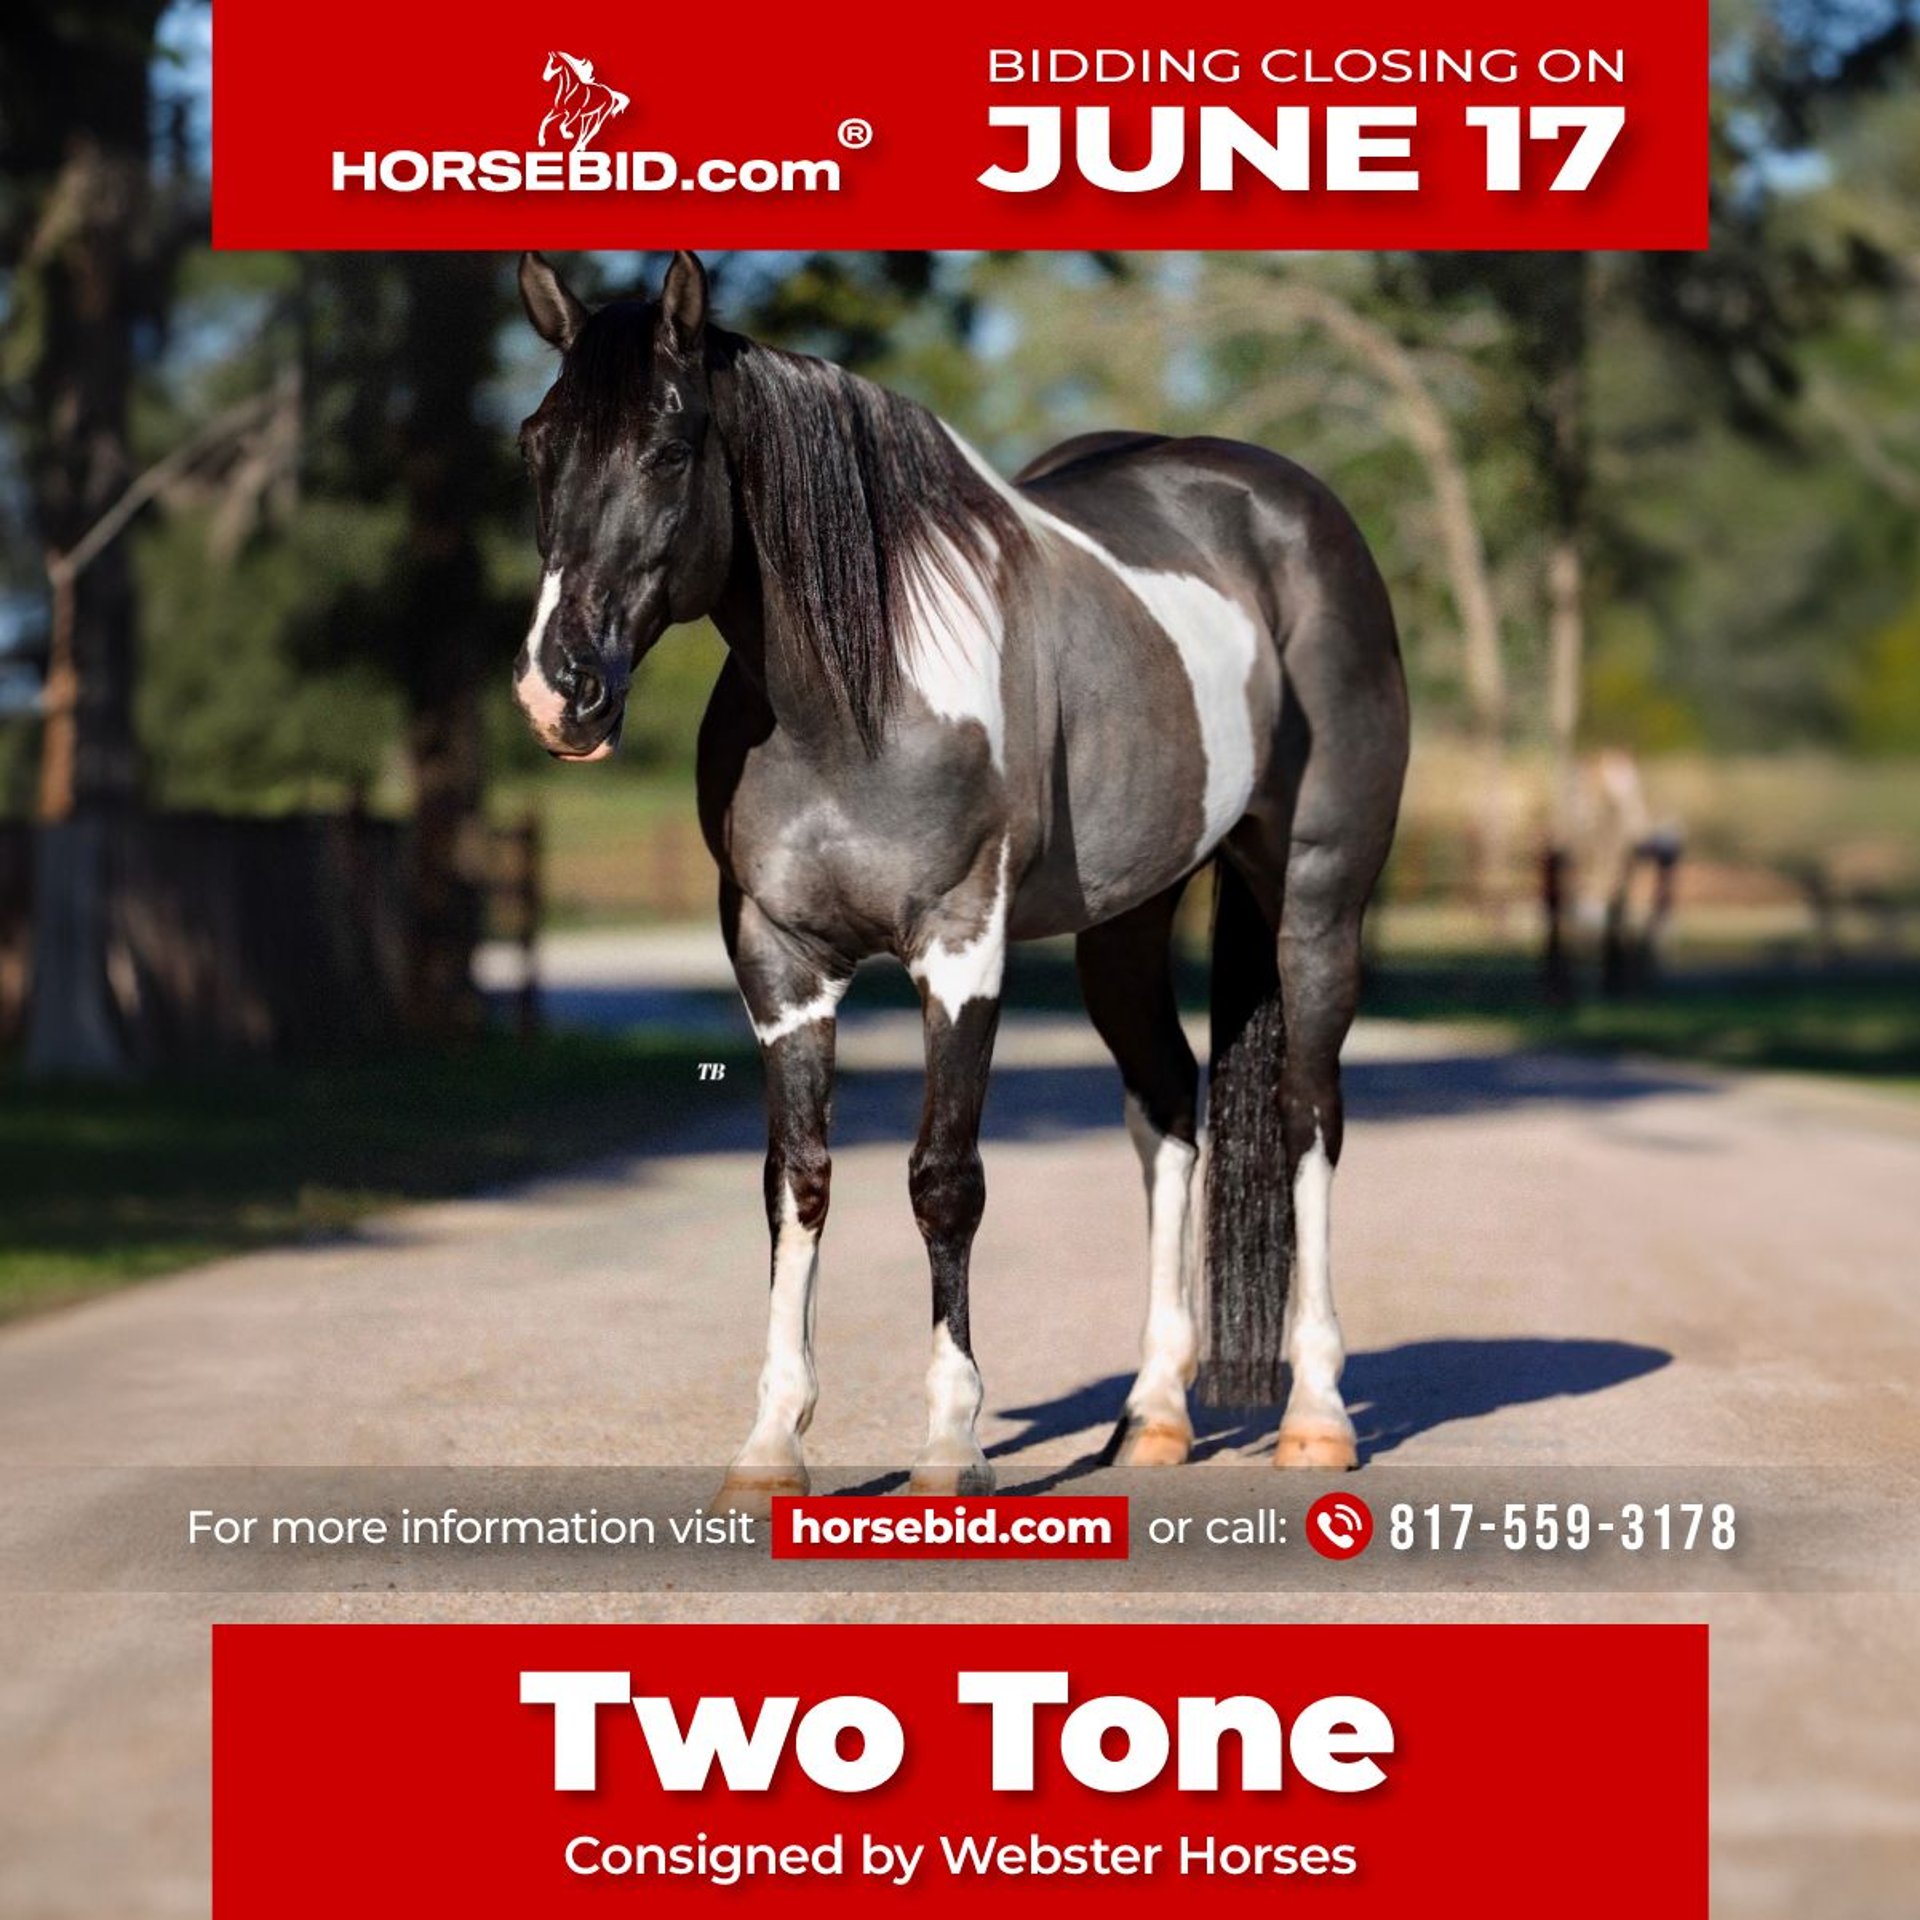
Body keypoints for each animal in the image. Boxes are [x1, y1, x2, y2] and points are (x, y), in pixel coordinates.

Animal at [511, 250, 1410, 1504]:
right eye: (537, 444)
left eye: (672, 446)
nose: (561, 692)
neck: (855, 695)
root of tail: (1291, 511)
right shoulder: (780, 967)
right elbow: (796, 1180)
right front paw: (772, 1444)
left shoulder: (959, 950)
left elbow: (945, 1181)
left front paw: (950, 1446)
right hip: (1123, 927)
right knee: (1169, 1114)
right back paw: (1153, 1416)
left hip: (1320, 900)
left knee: (1304, 1117)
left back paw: (1317, 1417)